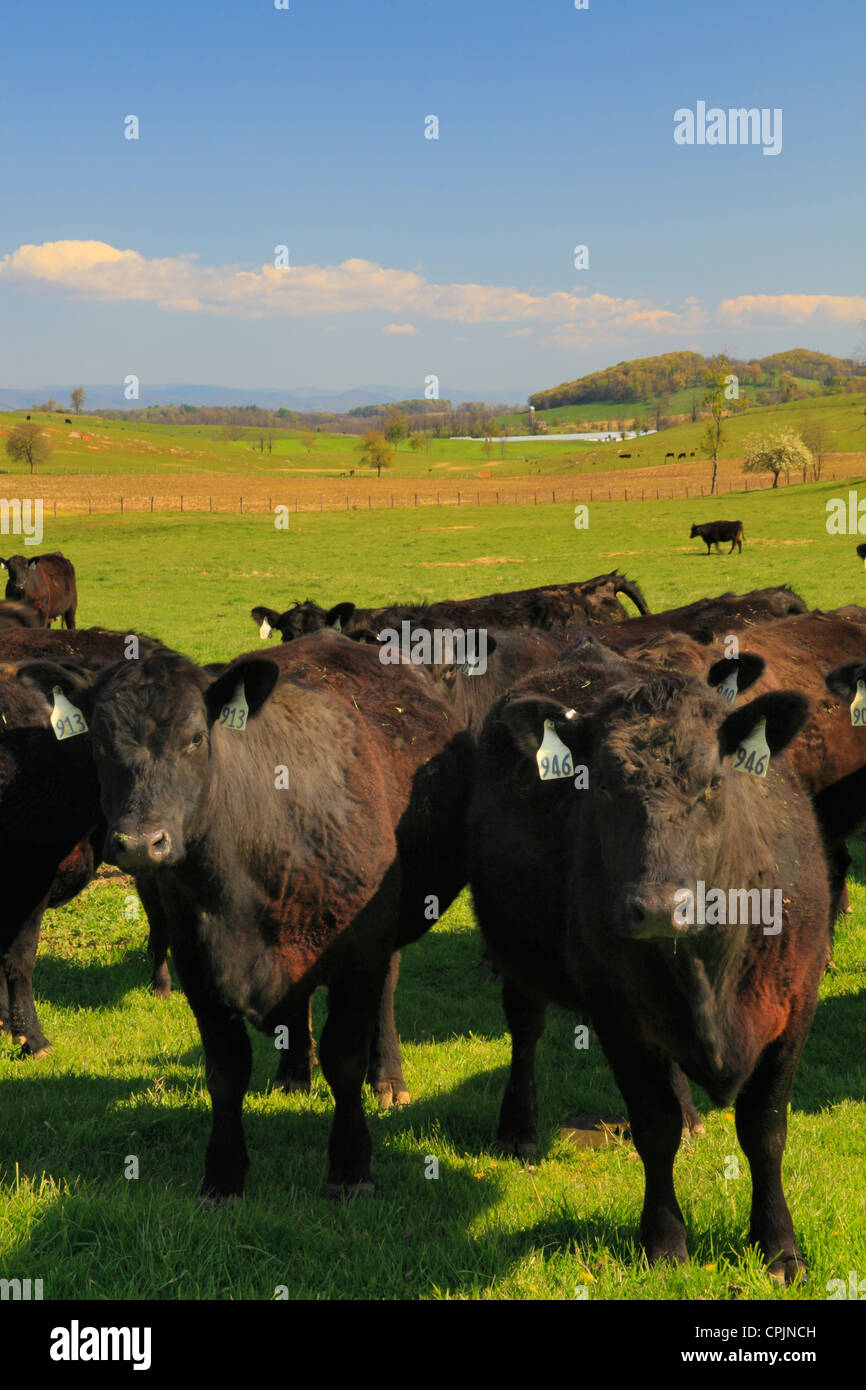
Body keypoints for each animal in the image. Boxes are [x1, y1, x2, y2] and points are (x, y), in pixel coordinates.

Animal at [74, 632, 474, 1200]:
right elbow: (225, 1071)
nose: (139, 842)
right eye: (97, 744)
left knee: (386, 994)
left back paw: (388, 1079)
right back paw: (293, 1071)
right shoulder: (196, 961)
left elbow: (344, 1060)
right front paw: (222, 1175)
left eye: (196, 738)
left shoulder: (362, 950)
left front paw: (350, 1167)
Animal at [468, 658, 829, 1282]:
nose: (661, 907)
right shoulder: (617, 1015)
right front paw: (663, 1242)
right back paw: (518, 1129)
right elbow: (654, 1129)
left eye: (713, 784)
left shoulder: (796, 1008)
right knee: (526, 1029)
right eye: (605, 787)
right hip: (516, 955)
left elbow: (765, 1131)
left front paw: (779, 1246)